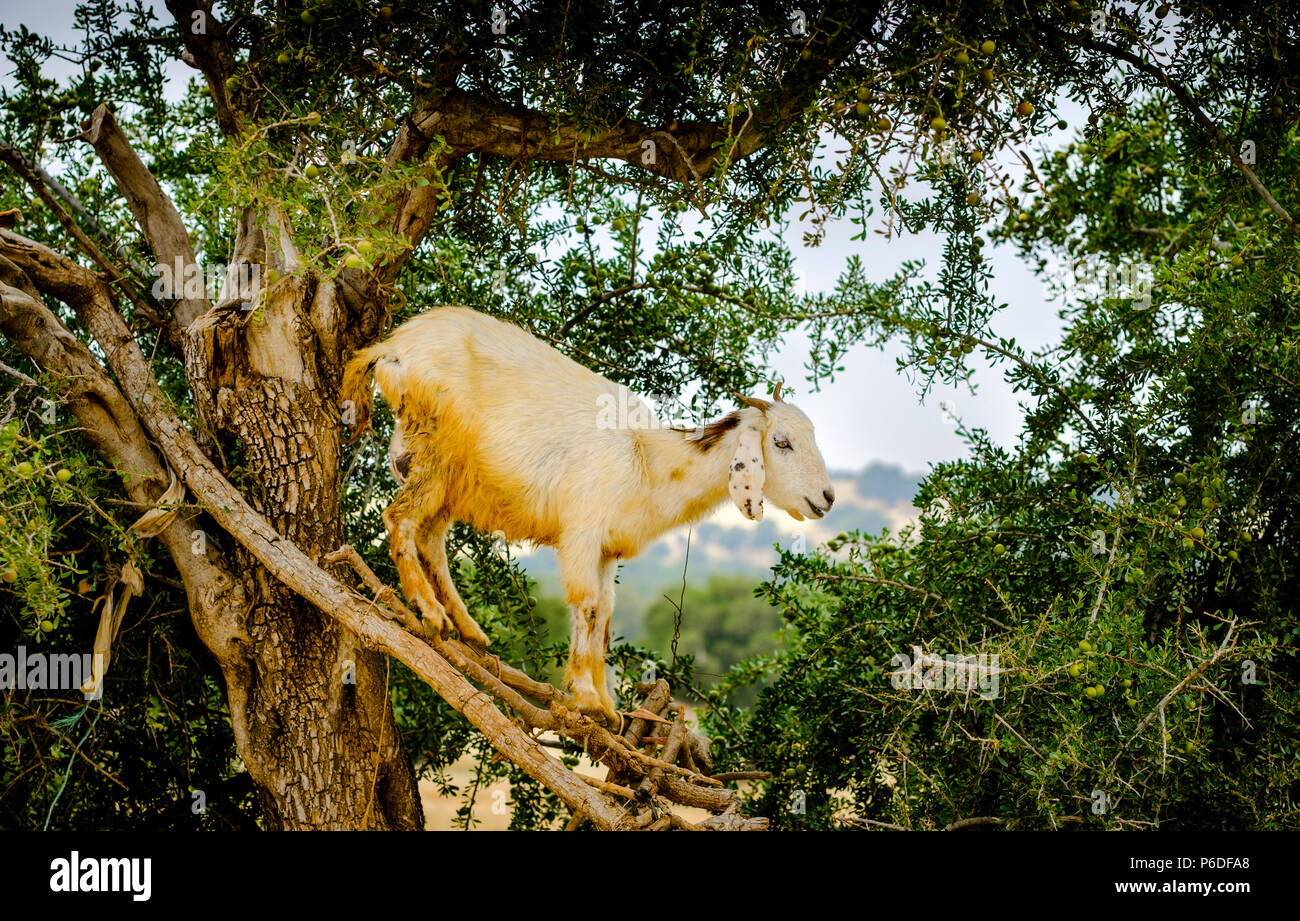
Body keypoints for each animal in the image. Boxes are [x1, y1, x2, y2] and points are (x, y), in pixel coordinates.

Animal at [340, 306, 835, 723]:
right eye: (782, 442)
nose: (827, 498)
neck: (647, 460)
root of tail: (393, 346)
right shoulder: (581, 532)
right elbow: (587, 605)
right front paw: (585, 698)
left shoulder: (608, 550)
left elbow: (607, 616)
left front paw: (609, 707)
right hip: (435, 451)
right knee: (400, 518)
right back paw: (430, 613)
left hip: (447, 478)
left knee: (431, 538)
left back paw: (468, 629)